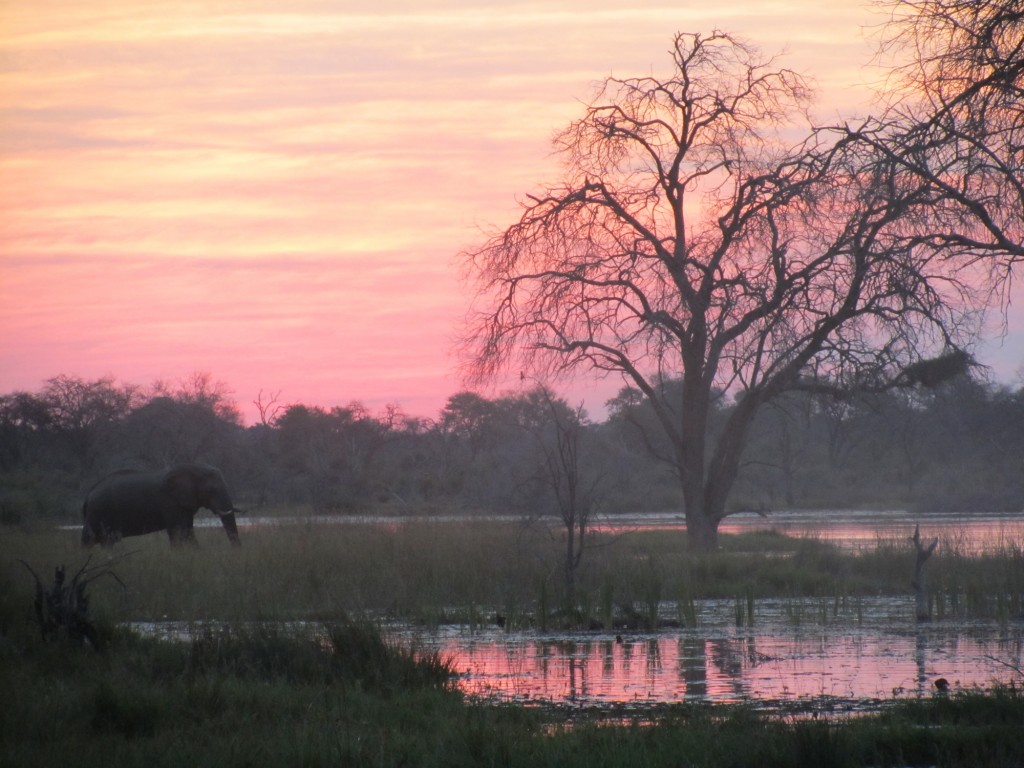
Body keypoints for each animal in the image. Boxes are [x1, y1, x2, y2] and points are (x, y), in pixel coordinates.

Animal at [81, 464, 241, 547]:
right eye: (211, 490)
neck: (192, 468)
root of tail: (88, 495)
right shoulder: (170, 503)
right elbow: (177, 532)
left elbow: (188, 532)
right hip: (101, 513)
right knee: (105, 540)